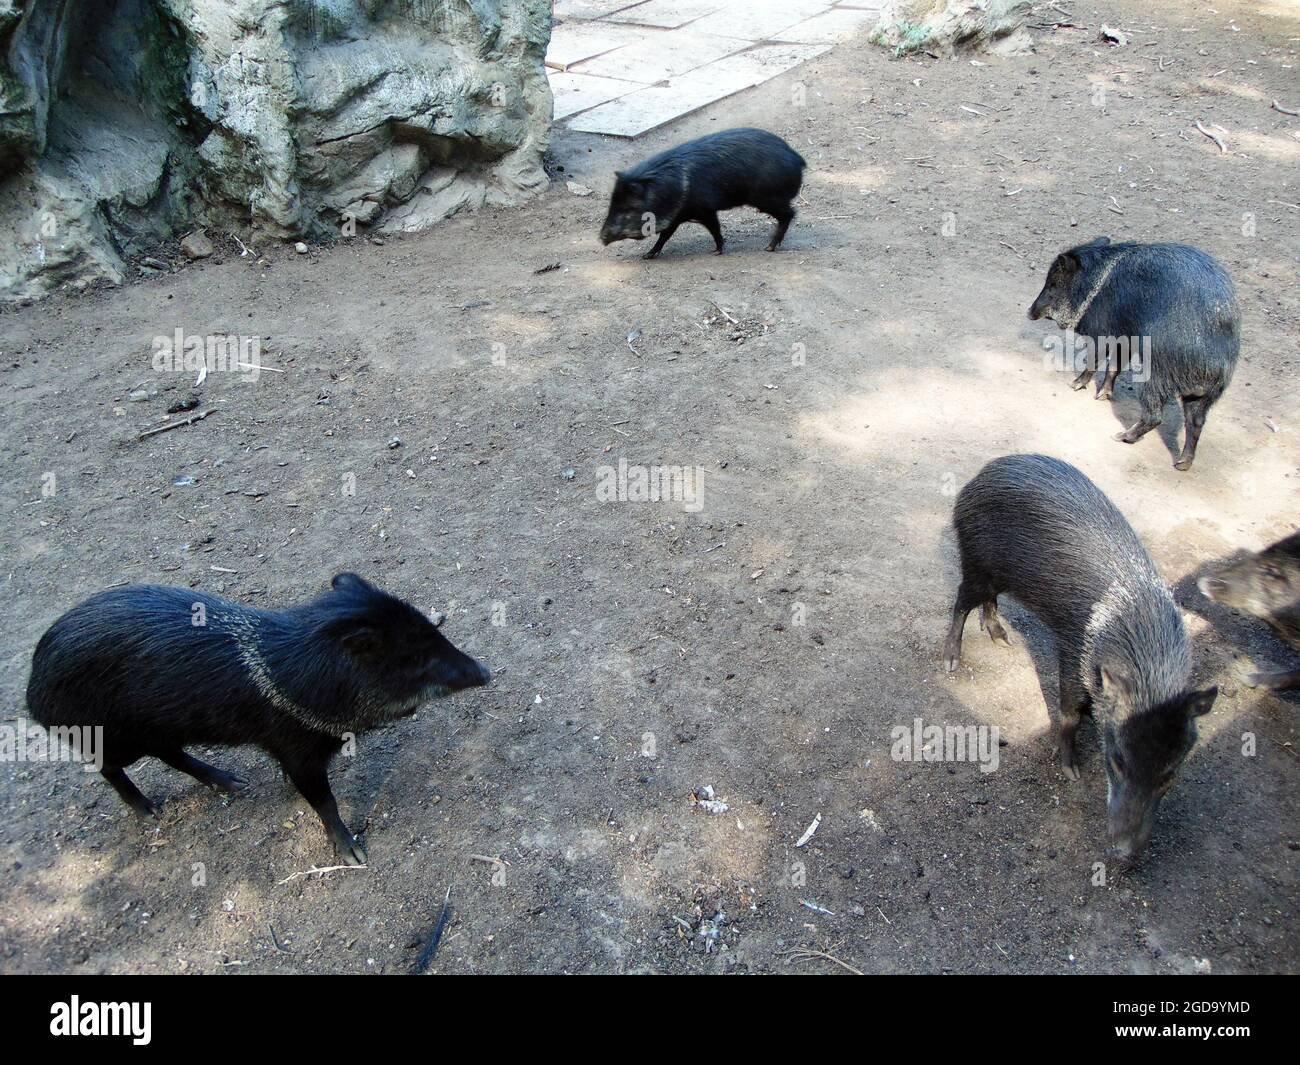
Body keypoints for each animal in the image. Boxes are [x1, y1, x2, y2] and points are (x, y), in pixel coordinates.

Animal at [25, 573, 490, 865]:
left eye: (433, 631)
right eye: (418, 658)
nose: (486, 673)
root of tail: (32, 693)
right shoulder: (298, 748)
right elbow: (323, 801)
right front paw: (353, 854)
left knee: (172, 754)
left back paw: (232, 783)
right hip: (113, 735)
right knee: (109, 768)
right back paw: (150, 811)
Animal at [598, 127, 806, 259]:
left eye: (628, 208)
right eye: (612, 204)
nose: (601, 237)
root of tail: (798, 159)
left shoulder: (704, 209)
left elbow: (714, 228)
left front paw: (717, 251)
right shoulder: (677, 216)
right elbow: (664, 236)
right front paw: (647, 255)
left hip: (767, 199)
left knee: (789, 214)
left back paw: (769, 247)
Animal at [943, 454, 1217, 866]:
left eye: (1170, 776)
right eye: (1117, 760)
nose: (1123, 854)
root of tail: (980, 475)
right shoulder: (1071, 652)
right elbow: (1069, 713)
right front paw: (1070, 770)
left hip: (996, 575)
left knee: (989, 603)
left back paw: (1002, 639)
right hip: (976, 562)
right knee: (961, 601)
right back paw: (951, 661)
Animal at [1028, 238, 1239, 471]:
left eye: (1053, 285)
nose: (1029, 312)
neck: (1094, 285)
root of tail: (1211, 366)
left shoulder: (1104, 332)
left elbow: (1095, 360)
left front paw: (1075, 385)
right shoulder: (1125, 337)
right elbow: (1114, 366)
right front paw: (1102, 396)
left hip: (1156, 376)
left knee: (1155, 416)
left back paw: (1121, 436)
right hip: (1205, 396)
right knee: (1196, 423)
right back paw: (1182, 464)